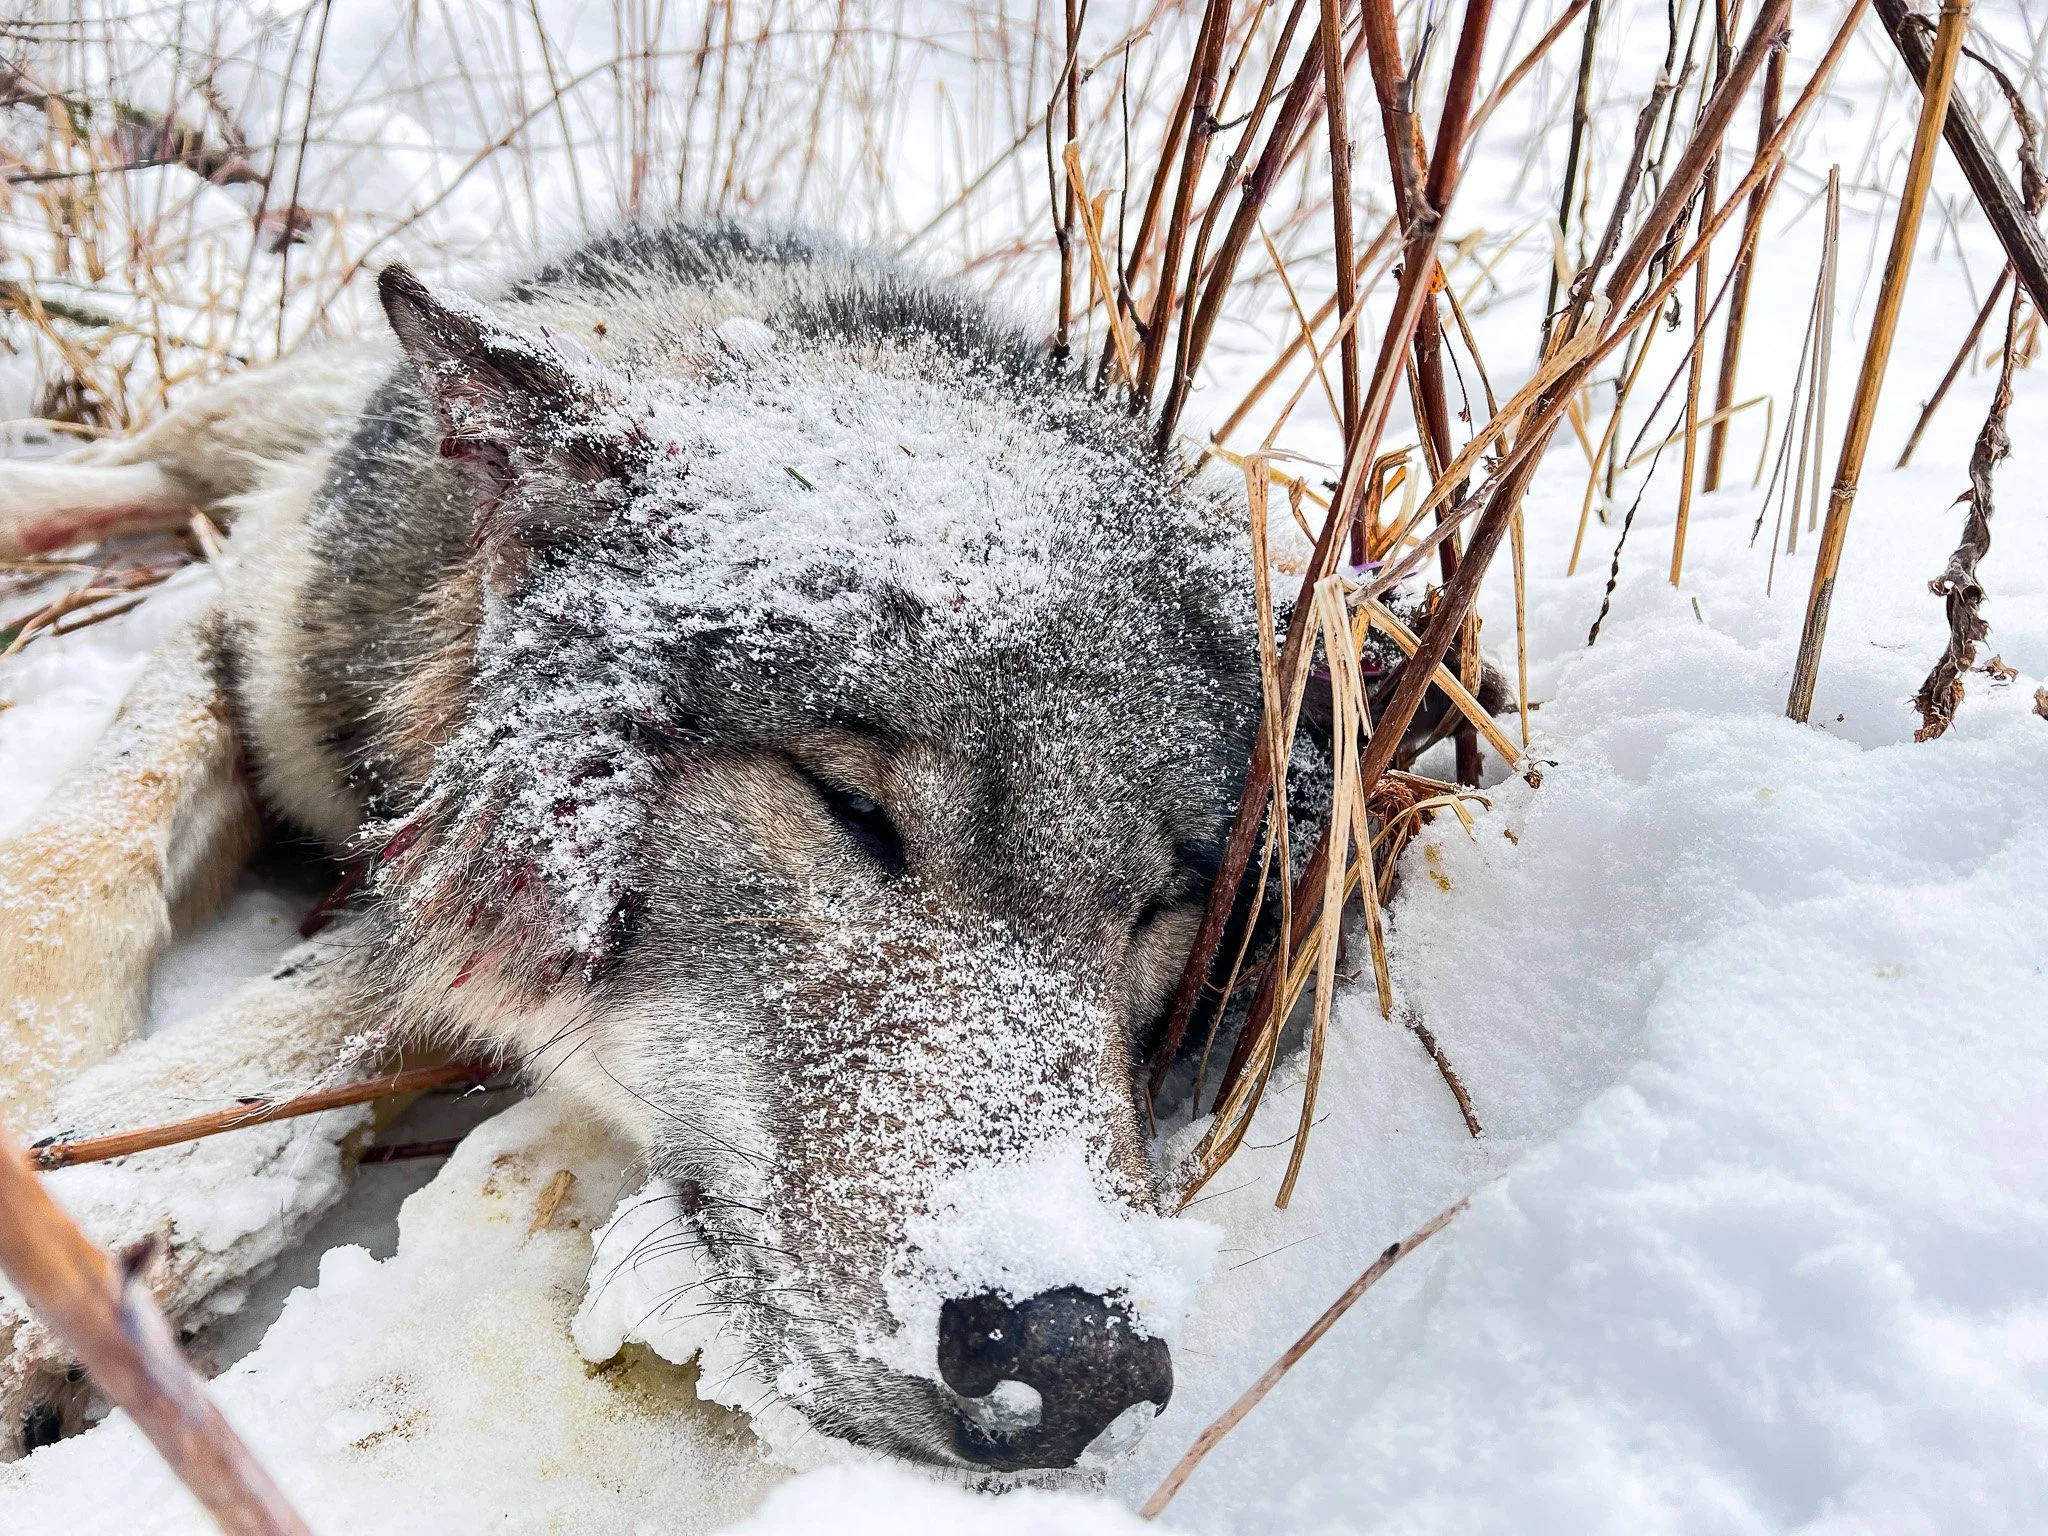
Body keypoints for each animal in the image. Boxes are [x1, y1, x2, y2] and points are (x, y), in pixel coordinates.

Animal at [0, 221, 1501, 1471]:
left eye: (1160, 912)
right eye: (852, 811)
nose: (1079, 1363)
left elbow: (342, 1003)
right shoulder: (245, 632)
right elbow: (74, 864)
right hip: (264, 436)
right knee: (145, 463)